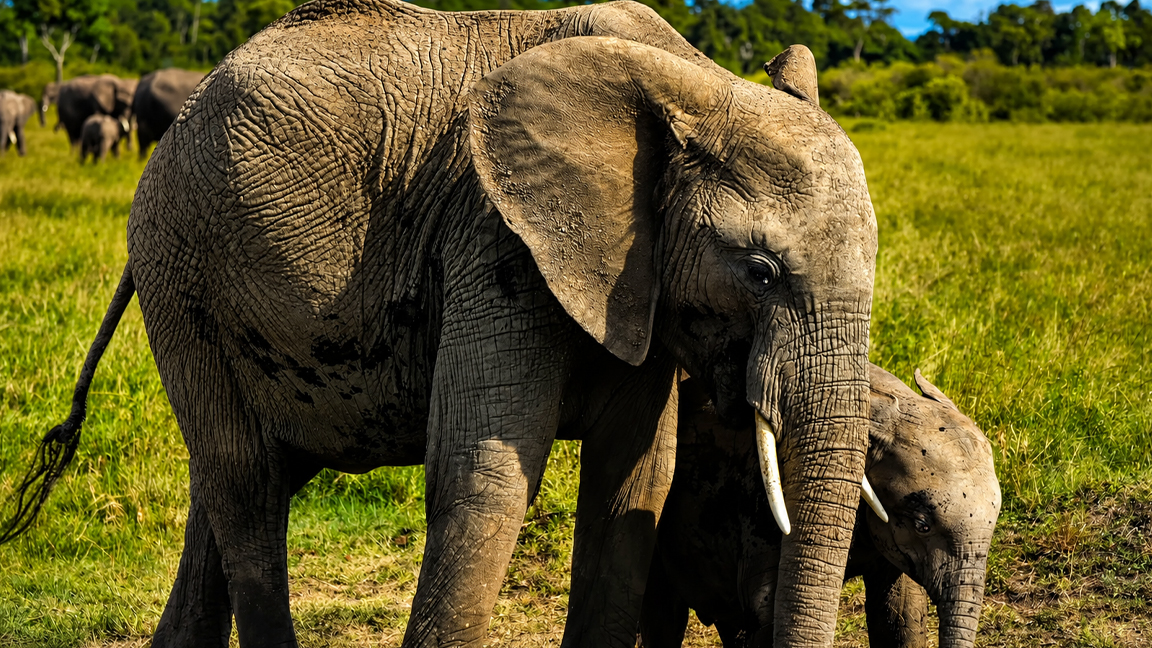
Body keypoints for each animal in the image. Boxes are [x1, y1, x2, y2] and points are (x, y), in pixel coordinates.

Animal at [0, 2, 879, 647]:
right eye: (761, 272)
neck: (694, 79)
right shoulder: (493, 234)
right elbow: (484, 471)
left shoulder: (639, 280)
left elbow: (634, 482)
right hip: (179, 273)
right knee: (245, 485)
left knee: (233, 478)